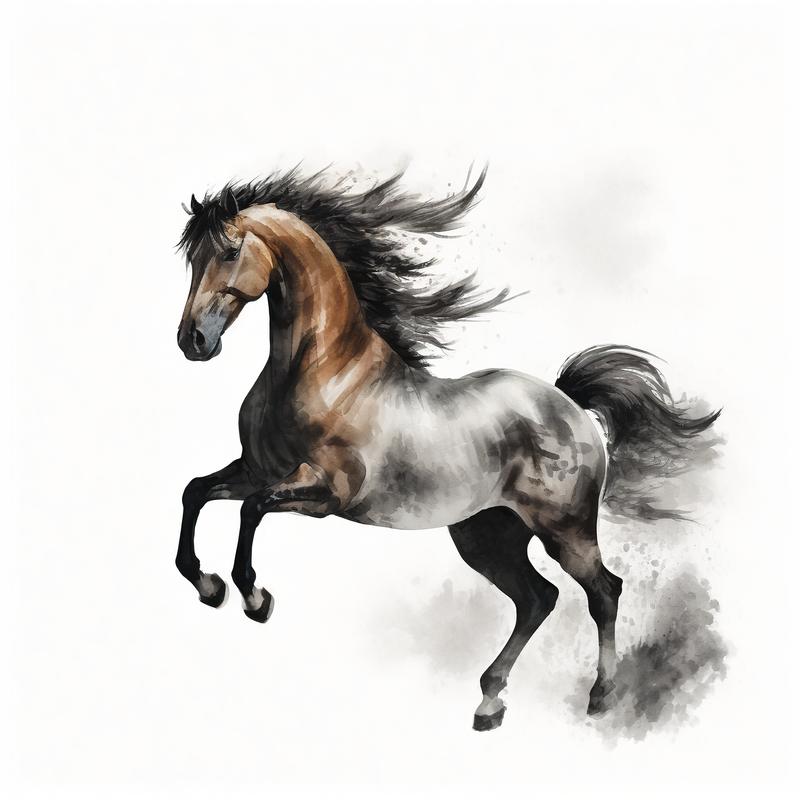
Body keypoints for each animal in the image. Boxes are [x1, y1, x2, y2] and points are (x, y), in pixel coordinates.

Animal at [174, 166, 719, 731]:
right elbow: (195, 492)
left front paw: (254, 597)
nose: (193, 341)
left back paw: (600, 695)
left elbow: (252, 512)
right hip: (486, 536)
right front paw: (209, 586)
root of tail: (569, 405)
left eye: (229, 251)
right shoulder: (255, 470)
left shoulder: (325, 493)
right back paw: (489, 701)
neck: (324, 373)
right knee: (537, 598)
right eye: (191, 258)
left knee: (604, 592)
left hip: (564, 531)